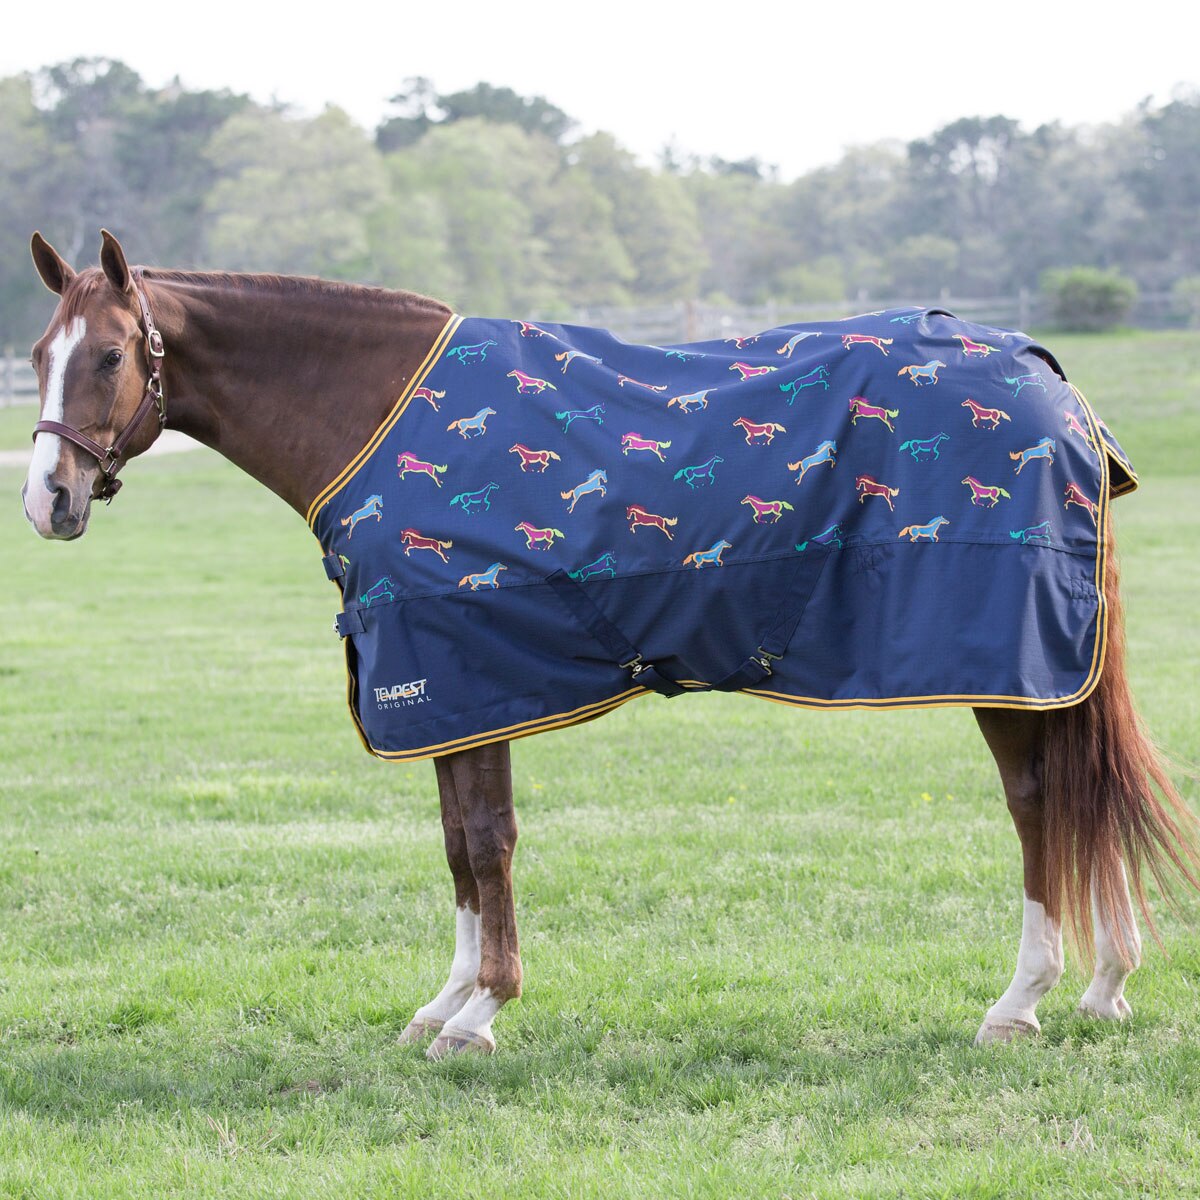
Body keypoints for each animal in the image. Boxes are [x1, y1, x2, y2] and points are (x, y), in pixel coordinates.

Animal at [22, 230, 1200, 1062]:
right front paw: (442, 1003)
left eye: (113, 356)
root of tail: (1050, 381)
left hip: (1007, 663)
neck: (378, 414)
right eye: (37, 355)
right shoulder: (446, 687)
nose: (48, 501)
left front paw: (481, 1015)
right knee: (1076, 794)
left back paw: (1022, 1001)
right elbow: (457, 848)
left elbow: (487, 843)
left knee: (1041, 804)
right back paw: (1104, 986)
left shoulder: (470, 667)